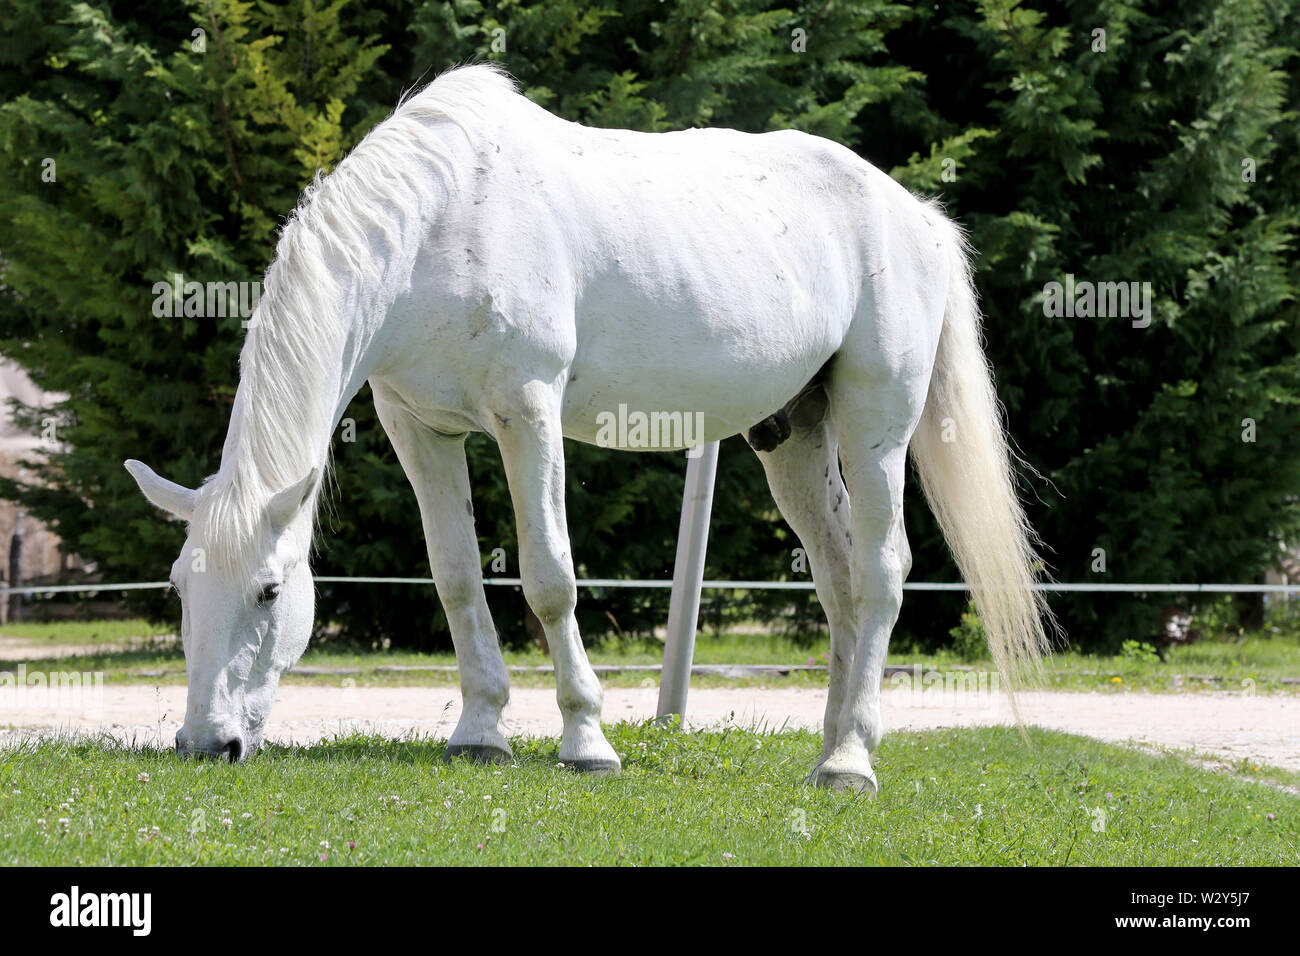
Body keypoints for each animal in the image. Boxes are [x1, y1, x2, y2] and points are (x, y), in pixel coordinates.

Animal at [126, 63, 1052, 793]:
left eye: (269, 591)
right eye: (178, 588)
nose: (206, 744)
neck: (440, 222)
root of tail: (916, 216)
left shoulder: (527, 414)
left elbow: (549, 578)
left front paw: (586, 740)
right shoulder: (419, 429)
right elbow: (456, 576)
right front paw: (480, 733)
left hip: (875, 427)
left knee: (885, 574)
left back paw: (851, 764)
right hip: (793, 436)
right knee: (839, 579)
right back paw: (831, 747)